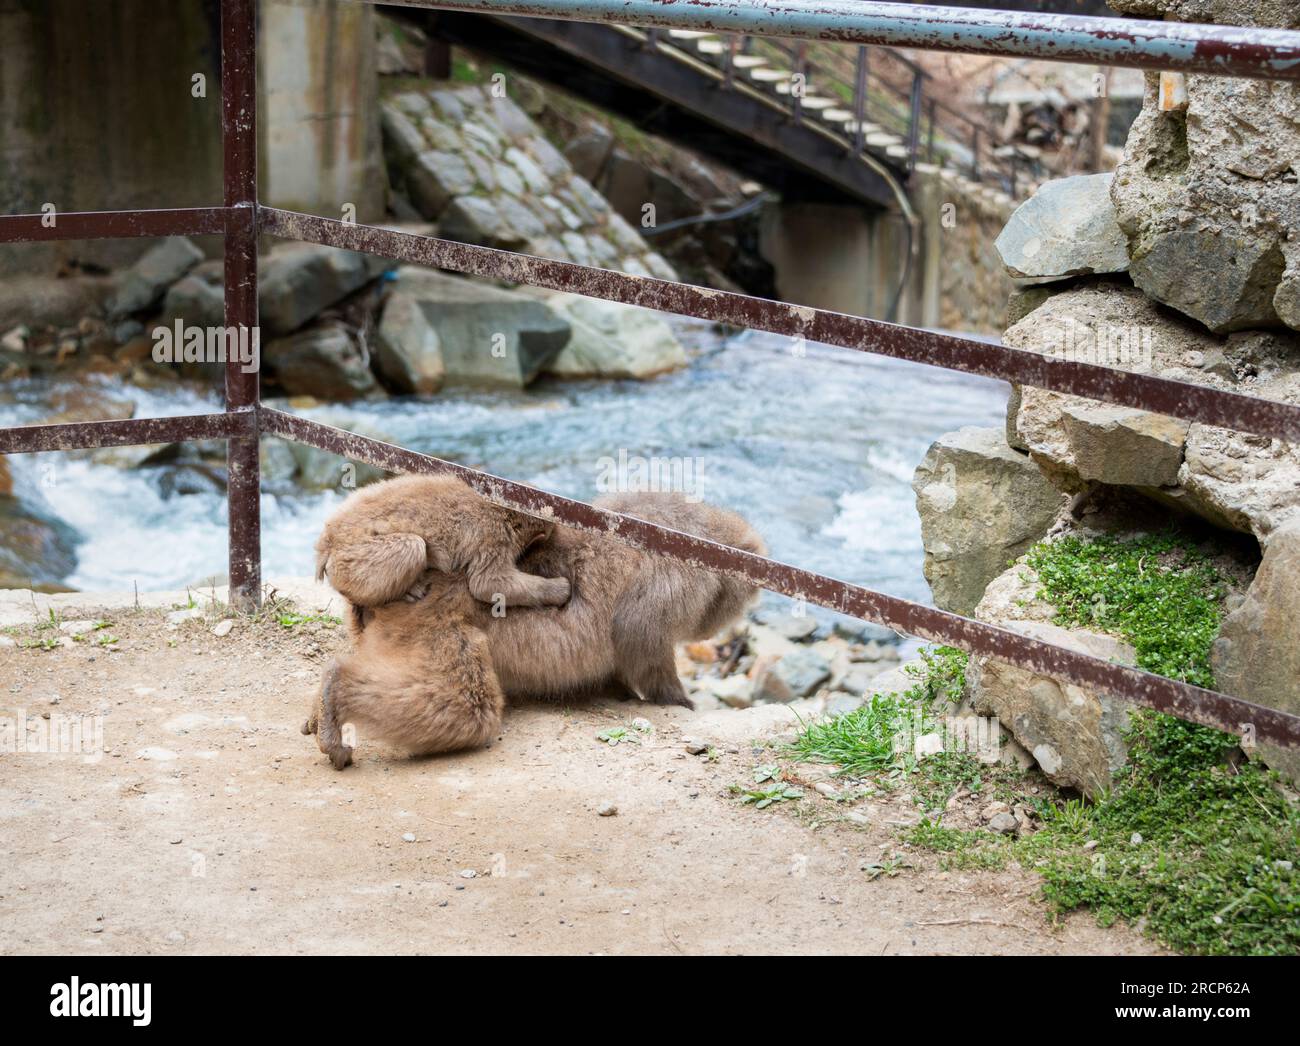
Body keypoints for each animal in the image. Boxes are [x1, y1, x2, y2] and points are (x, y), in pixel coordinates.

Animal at [304, 489, 765, 769]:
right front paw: (678, 699)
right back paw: (336, 691)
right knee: (465, 707)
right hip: (434, 626)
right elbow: (641, 644)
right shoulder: (667, 590)